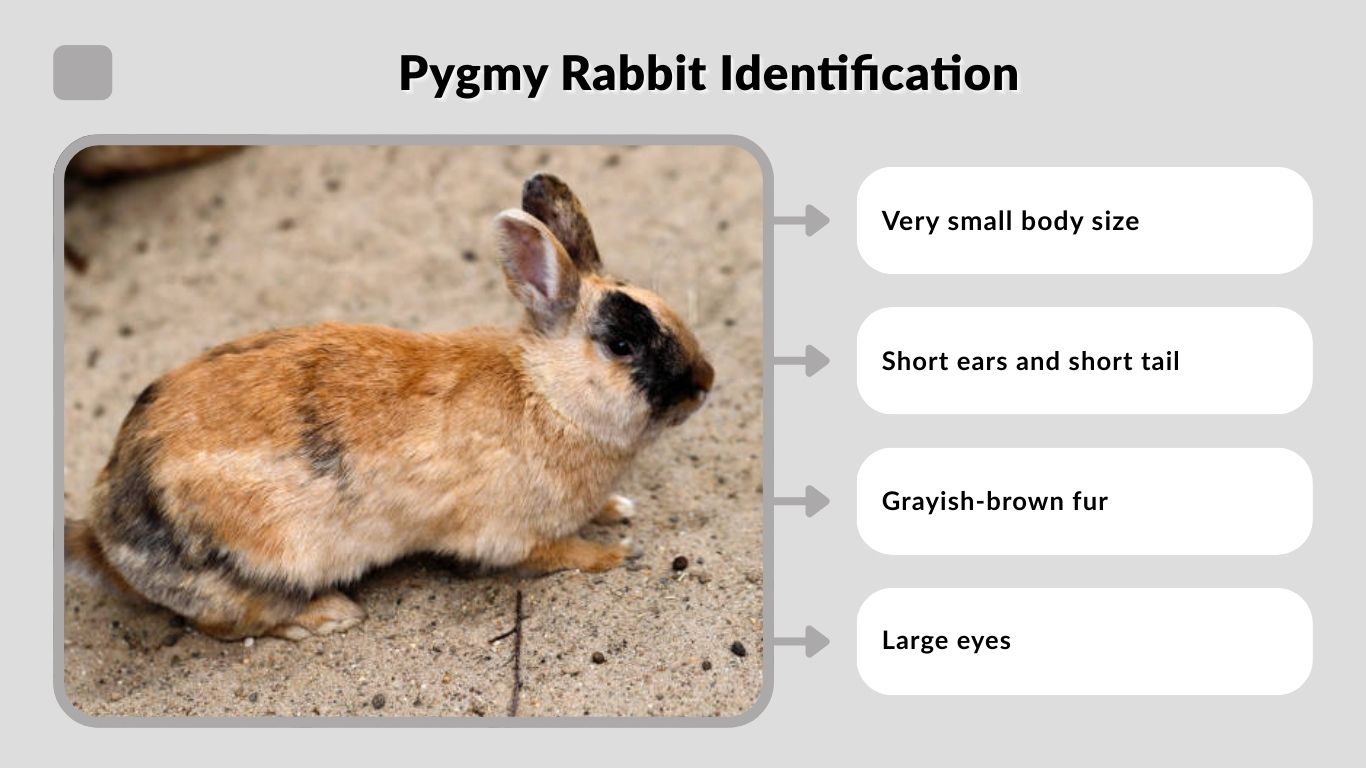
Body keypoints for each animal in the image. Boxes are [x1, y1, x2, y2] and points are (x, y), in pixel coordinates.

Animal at [64, 172, 715, 641]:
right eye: (621, 346)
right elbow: (558, 554)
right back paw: (330, 616)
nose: (704, 383)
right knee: (227, 622)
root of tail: (106, 532)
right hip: (261, 563)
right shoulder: (510, 535)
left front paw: (618, 508)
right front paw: (616, 553)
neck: (548, 393)